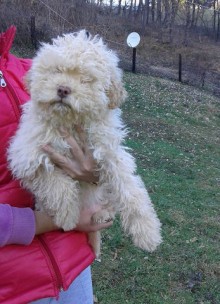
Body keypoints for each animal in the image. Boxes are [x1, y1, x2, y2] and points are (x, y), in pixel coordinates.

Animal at [7, 30, 162, 255]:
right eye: (56, 70)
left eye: (86, 79)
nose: (63, 89)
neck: (70, 123)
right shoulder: (27, 156)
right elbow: (59, 185)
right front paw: (68, 217)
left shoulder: (110, 153)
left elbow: (131, 191)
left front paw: (148, 232)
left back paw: (102, 215)